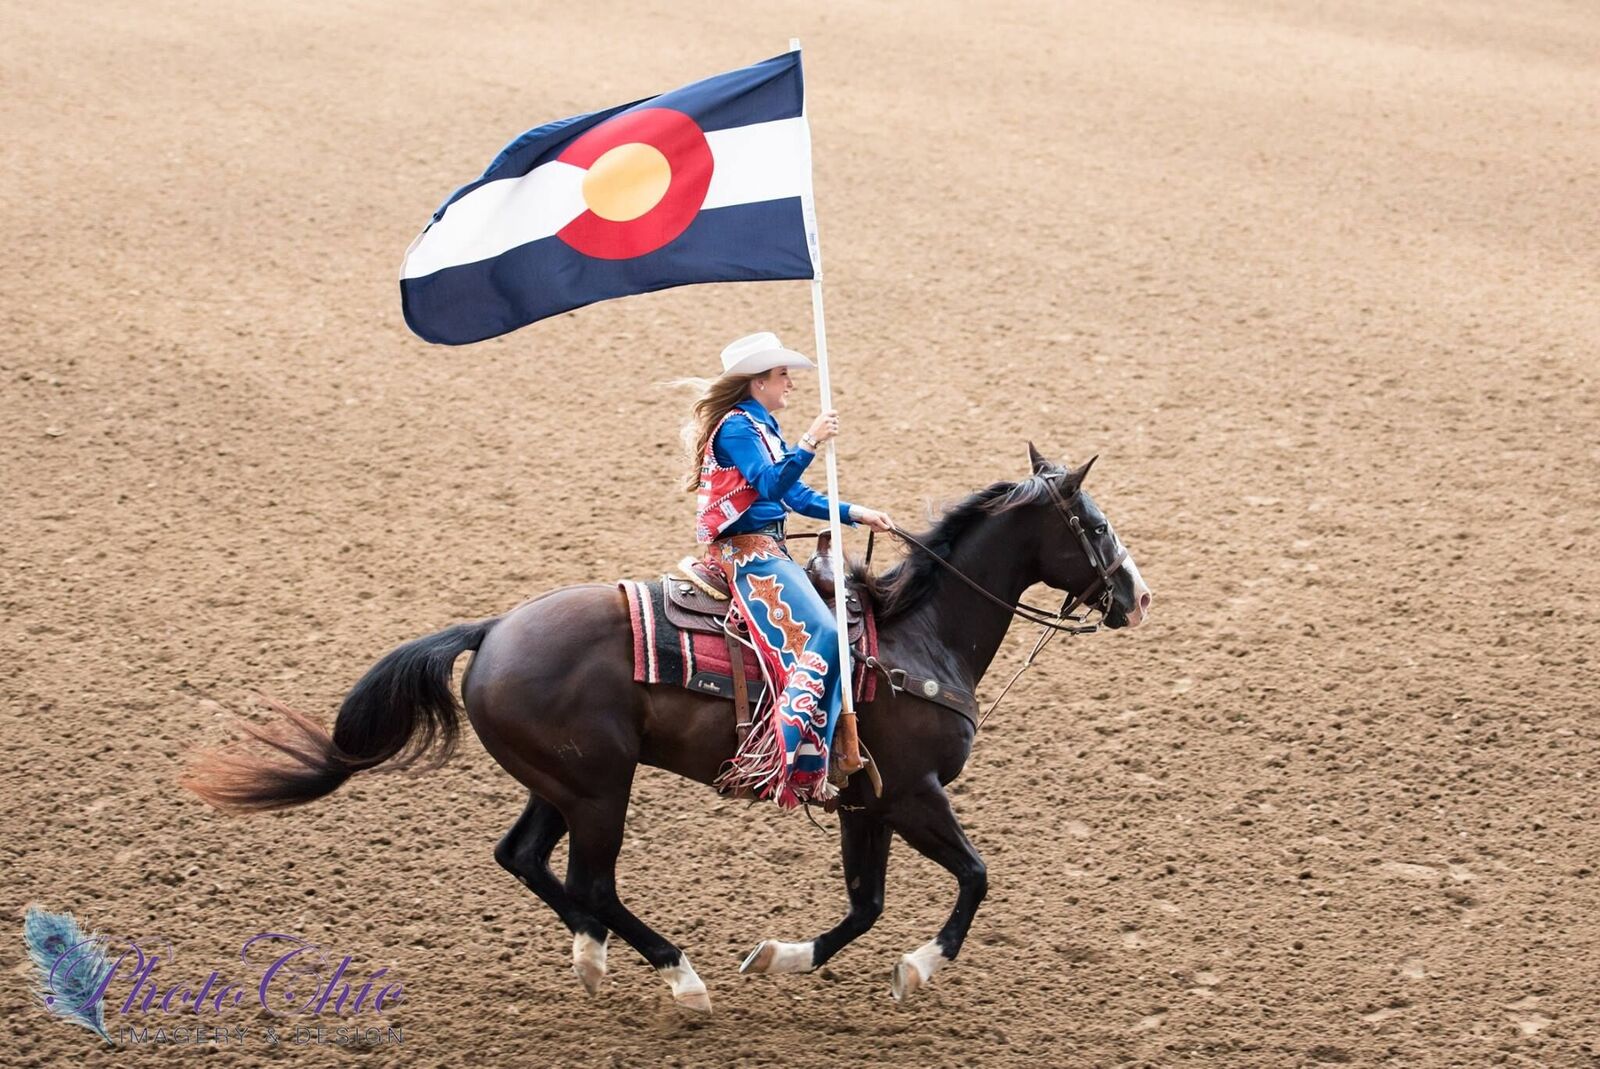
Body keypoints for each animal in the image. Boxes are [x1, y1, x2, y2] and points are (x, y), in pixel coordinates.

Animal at [184, 445, 1153, 1012]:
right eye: (1097, 523)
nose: (1138, 596)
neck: (919, 633)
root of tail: (490, 631)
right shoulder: (914, 794)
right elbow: (975, 877)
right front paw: (921, 965)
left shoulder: (865, 801)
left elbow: (865, 902)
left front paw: (783, 955)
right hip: (601, 787)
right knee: (593, 879)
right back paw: (672, 970)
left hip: (562, 782)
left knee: (525, 857)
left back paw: (594, 952)